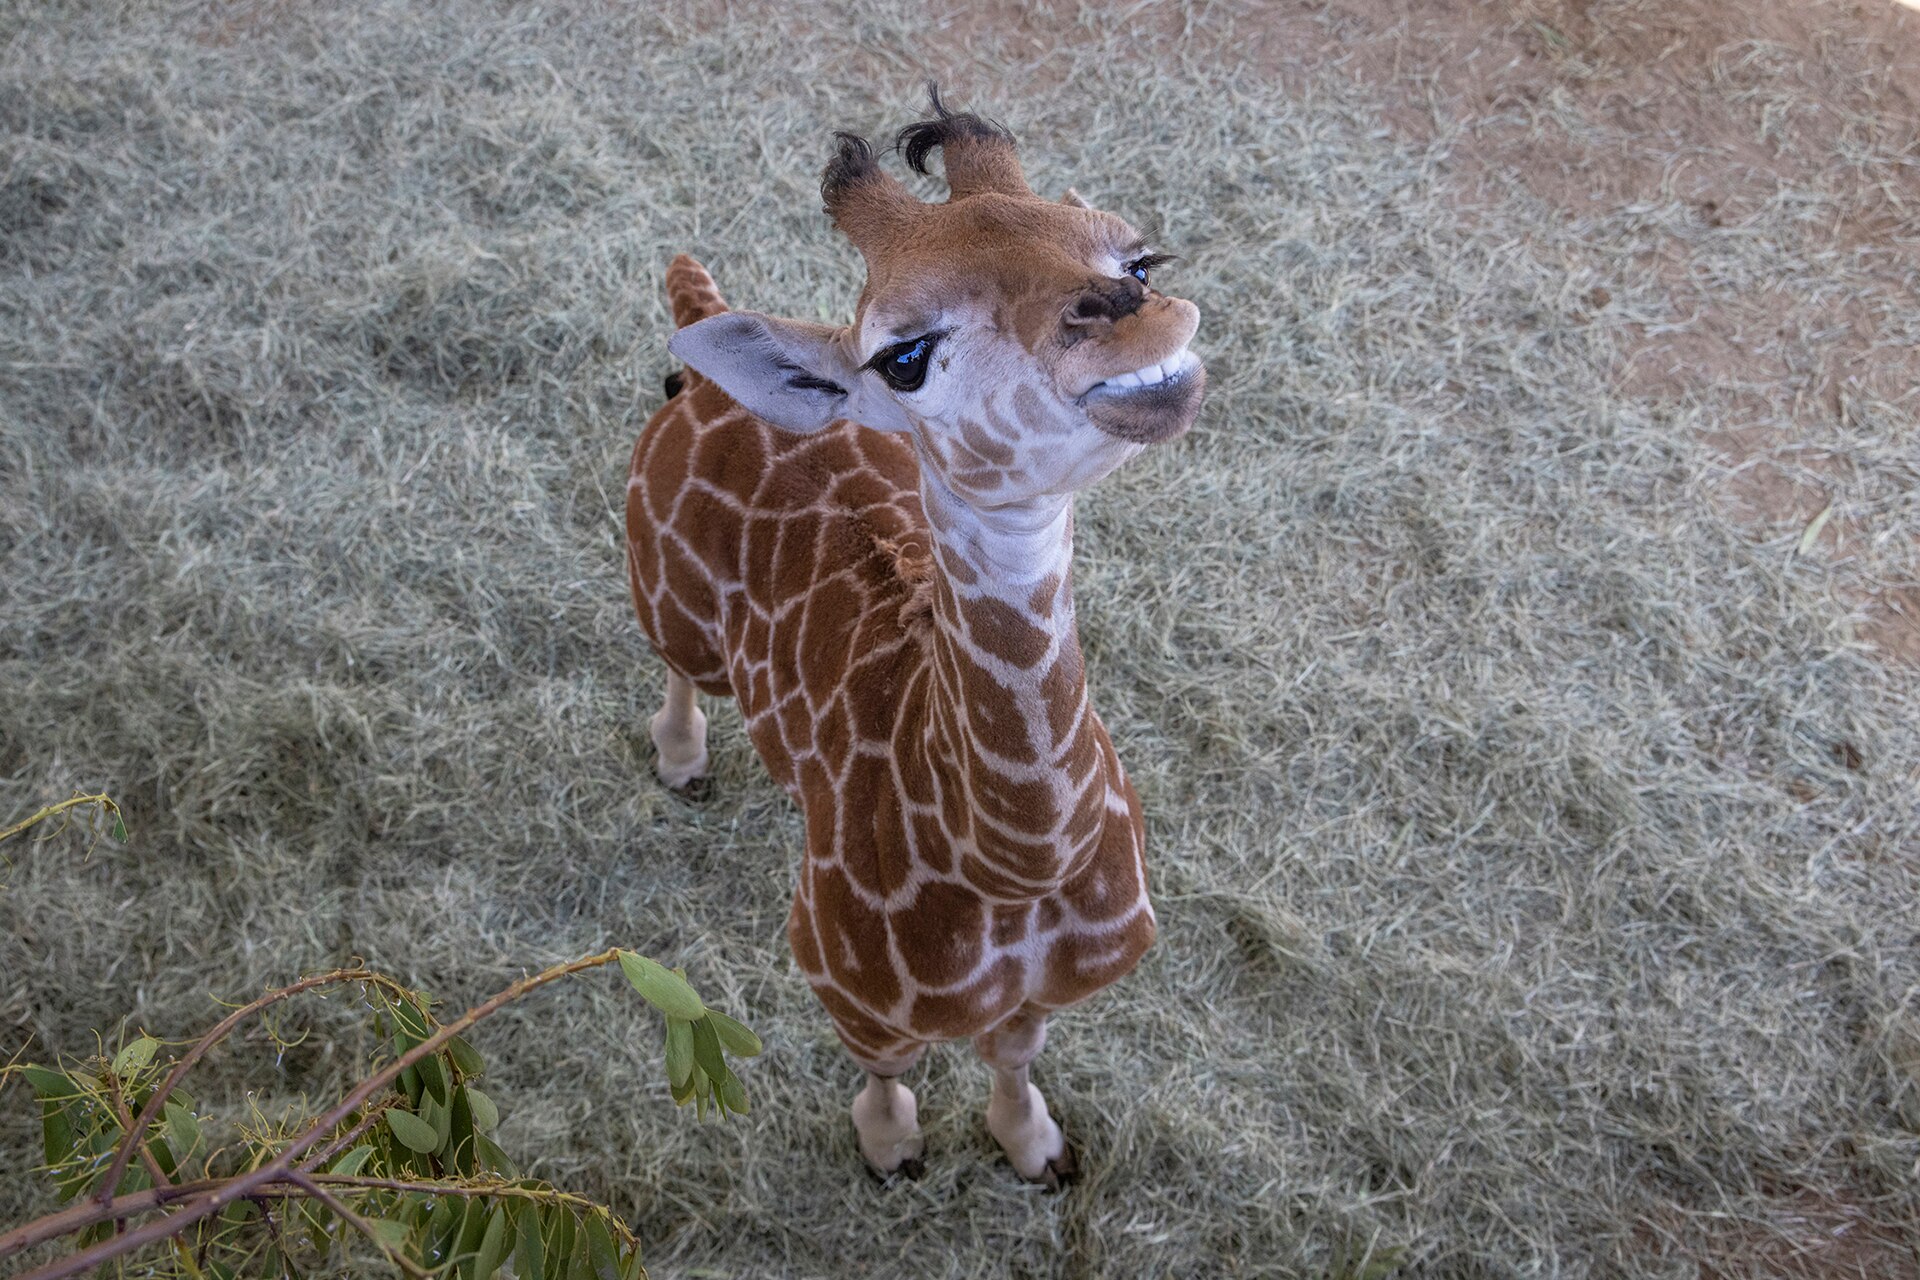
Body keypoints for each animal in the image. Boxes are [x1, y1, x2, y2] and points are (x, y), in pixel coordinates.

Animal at [626, 91, 1205, 1185]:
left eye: (1140, 260)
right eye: (904, 356)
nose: (1135, 321)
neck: (1015, 869)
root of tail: (695, 336)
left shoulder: (1051, 992)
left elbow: (1014, 1054)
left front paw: (1035, 1148)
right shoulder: (844, 981)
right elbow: (885, 1071)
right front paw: (892, 1150)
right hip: (663, 598)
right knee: (678, 671)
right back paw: (683, 764)